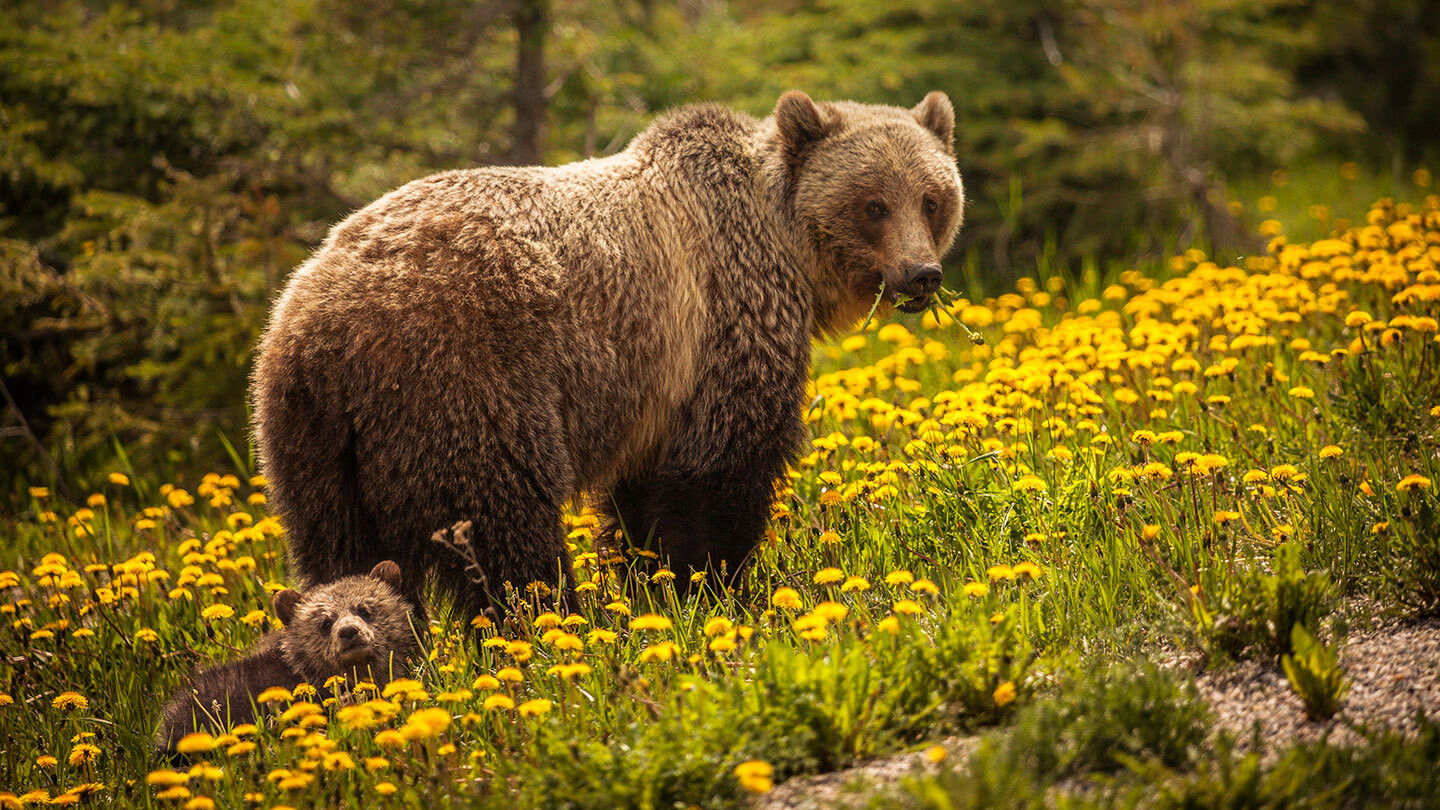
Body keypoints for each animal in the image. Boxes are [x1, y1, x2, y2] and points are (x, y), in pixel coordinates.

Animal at [252, 90, 964, 616]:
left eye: (932, 199)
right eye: (873, 204)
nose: (921, 274)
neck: (786, 247)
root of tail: (319, 326)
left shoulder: (657, 387)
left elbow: (645, 498)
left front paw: (655, 585)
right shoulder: (720, 325)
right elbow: (720, 472)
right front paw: (716, 588)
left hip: (312, 444)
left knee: (340, 553)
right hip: (461, 382)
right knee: (504, 524)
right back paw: (549, 621)